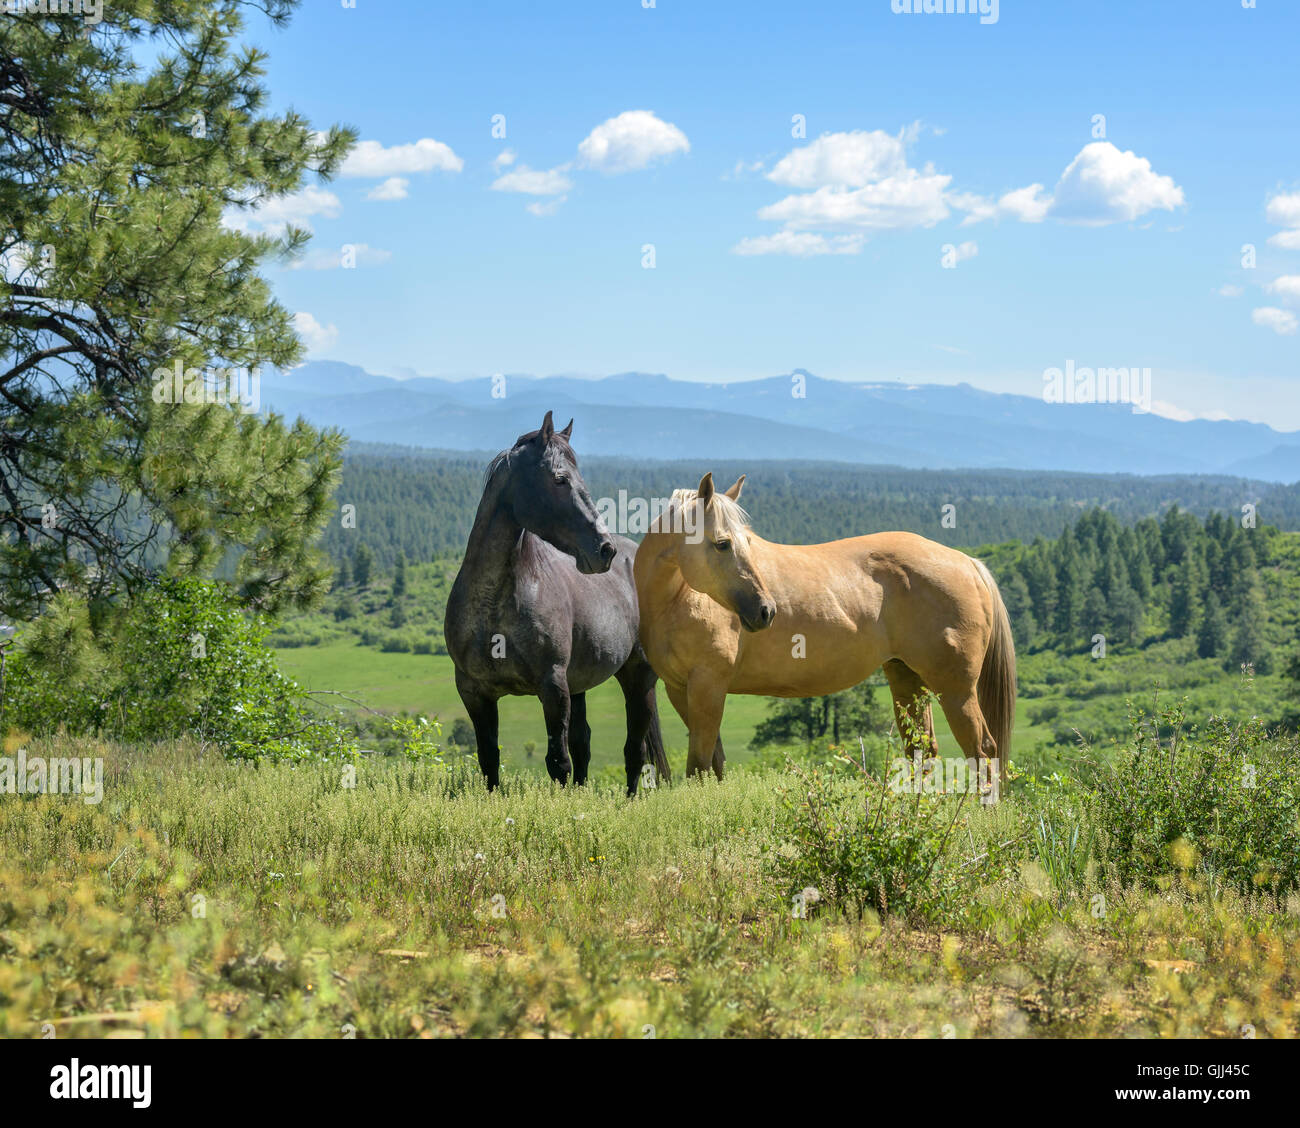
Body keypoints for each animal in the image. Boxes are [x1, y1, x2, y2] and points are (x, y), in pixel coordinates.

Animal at [444, 411, 671, 796]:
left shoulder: (552, 687)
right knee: (584, 744)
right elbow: (489, 759)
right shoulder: (474, 692)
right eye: (560, 479)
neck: (495, 603)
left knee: (634, 750)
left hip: (637, 678)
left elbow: (557, 763)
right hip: (579, 685)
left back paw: (630, 801)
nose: (604, 549)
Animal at [633, 472, 1015, 782]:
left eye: (748, 542)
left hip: (956, 690)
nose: (766, 610)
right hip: (908, 679)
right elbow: (713, 764)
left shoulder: (709, 686)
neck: (678, 600)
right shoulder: (680, 690)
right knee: (922, 750)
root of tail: (968, 563)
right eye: (723, 543)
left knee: (982, 750)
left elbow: (699, 764)